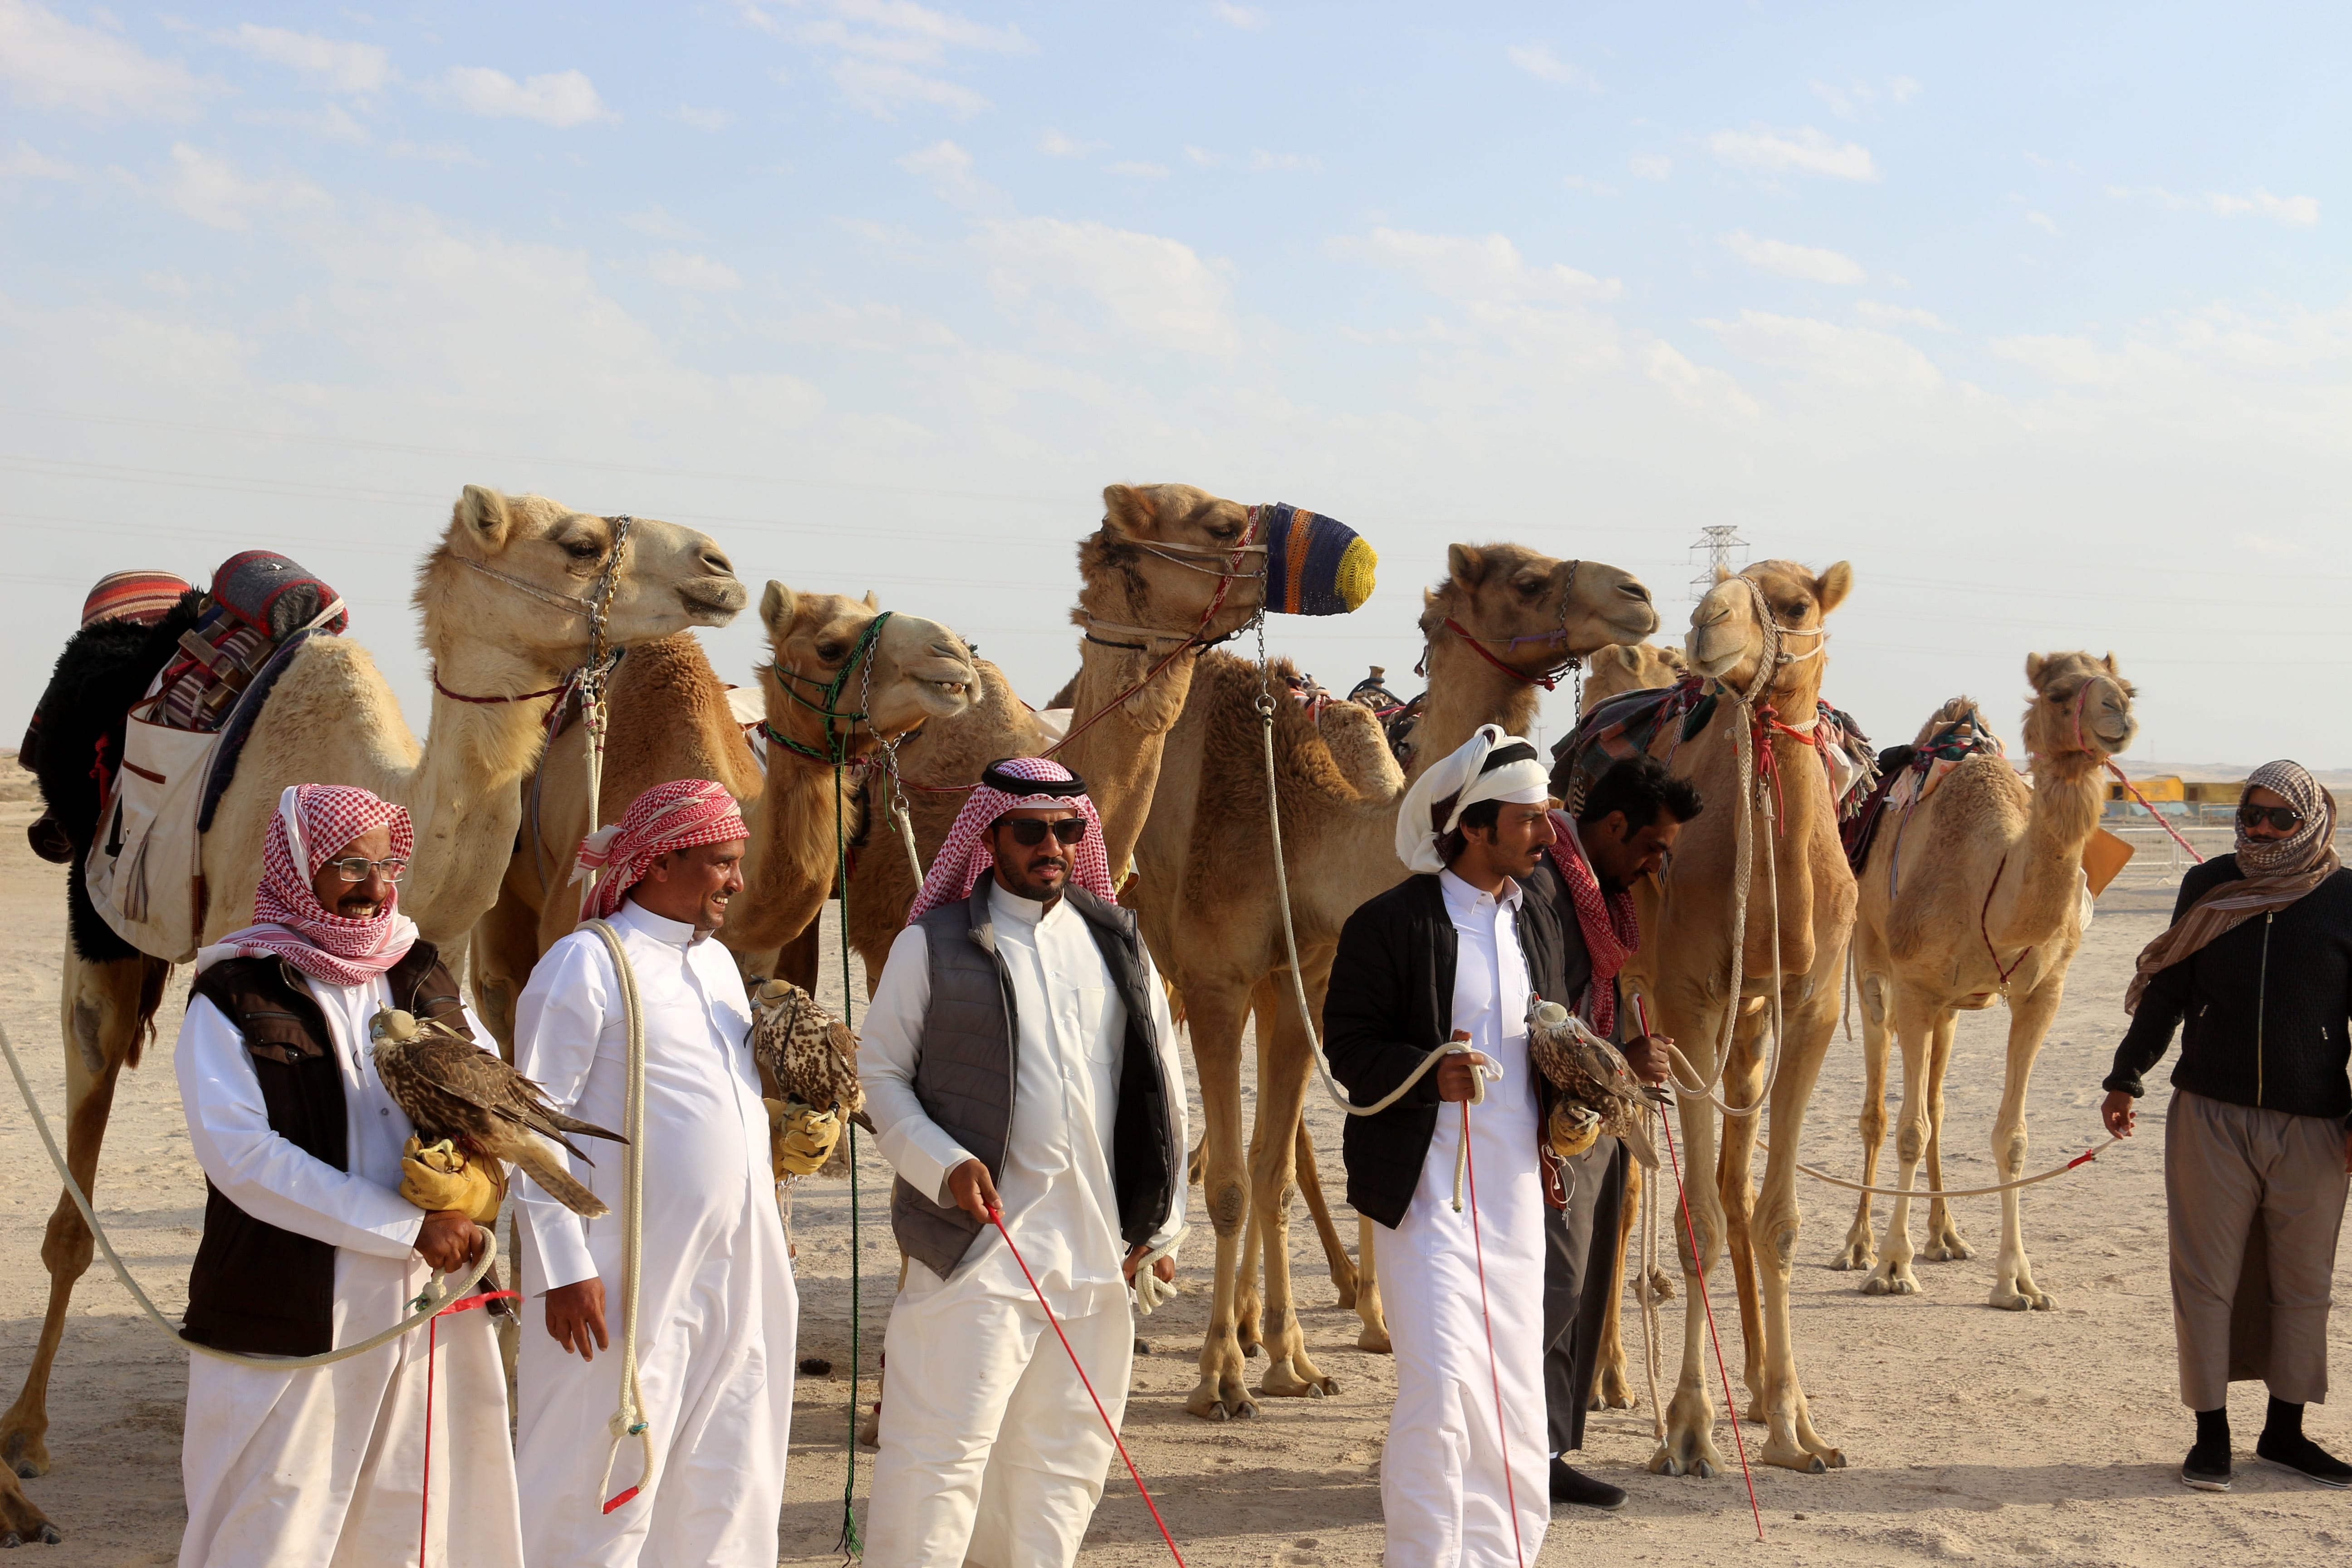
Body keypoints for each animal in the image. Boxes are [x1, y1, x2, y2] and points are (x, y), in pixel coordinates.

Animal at [0, 489, 744, 1540]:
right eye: (578, 543)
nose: (720, 566)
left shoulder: (448, 966)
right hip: (97, 927)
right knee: (78, 1170)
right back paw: (25, 1439)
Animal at [1131, 544, 1660, 1420]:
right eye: (1525, 580)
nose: (1638, 595)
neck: (1305, 829)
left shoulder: (1301, 975)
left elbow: (1273, 1170)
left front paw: (1288, 1364)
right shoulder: (1215, 981)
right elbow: (1234, 1182)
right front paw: (1218, 1380)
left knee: (1285, 1151)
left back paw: (1276, 1329)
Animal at [1619, 557, 1857, 1478]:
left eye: (1793, 603)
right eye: (1718, 584)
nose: (1703, 623)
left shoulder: (1812, 1007)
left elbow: (1776, 1220)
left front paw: (1798, 1425)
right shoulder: (1688, 1003)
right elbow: (1699, 1227)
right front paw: (1687, 1427)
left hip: (1751, 1024)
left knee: (1732, 1179)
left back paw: (1755, 1386)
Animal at [1834, 654, 2137, 1310]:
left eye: (2128, 689)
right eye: (2059, 693)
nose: (2119, 716)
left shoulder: (2041, 994)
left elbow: (2011, 1137)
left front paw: (2018, 1281)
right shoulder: (1915, 987)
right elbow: (1907, 1129)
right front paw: (1892, 1268)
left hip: (1950, 1007)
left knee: (1936, 1103)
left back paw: (1945, 1236)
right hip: (1872, 966)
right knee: (1877, 1109)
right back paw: (1858, 1245)